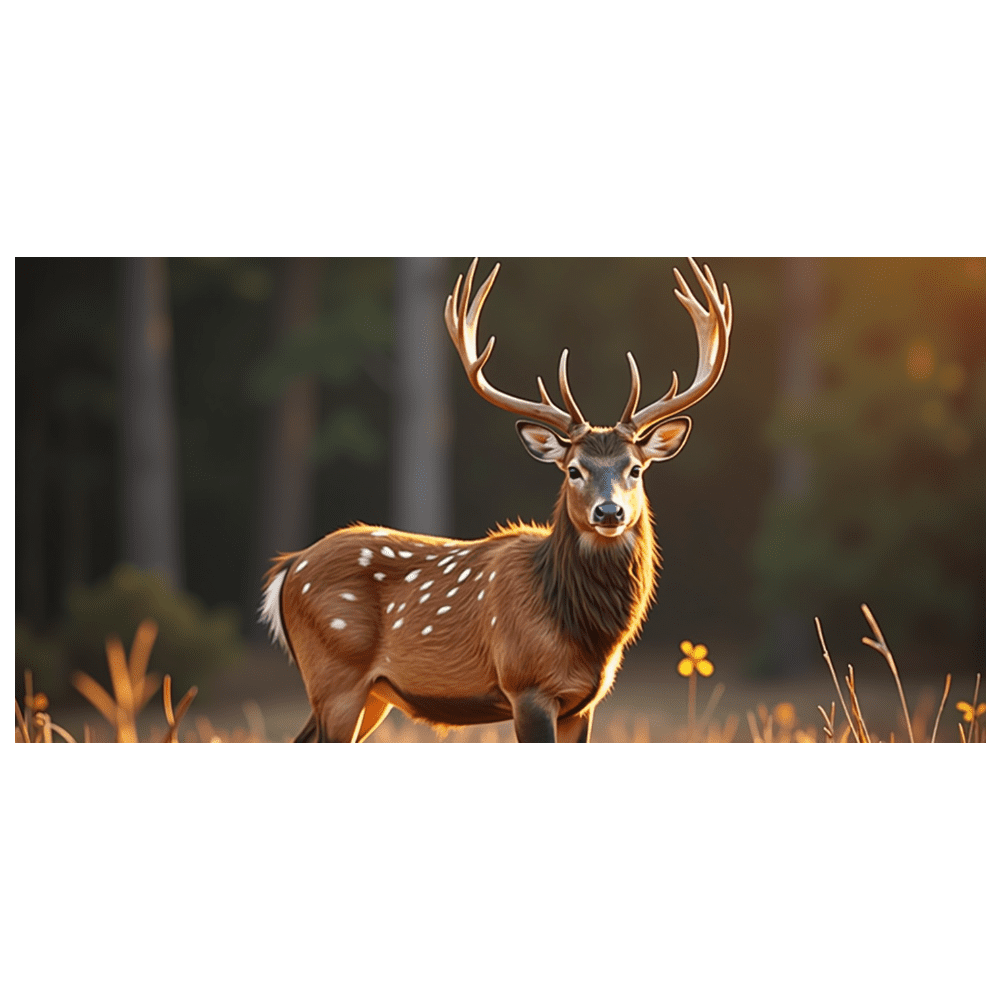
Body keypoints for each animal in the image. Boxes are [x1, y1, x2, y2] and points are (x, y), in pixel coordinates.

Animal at [260, 258, 732, 742]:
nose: (609, 511)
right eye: (573, 469)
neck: (584, 636)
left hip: (371, 694)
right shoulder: (526, 684)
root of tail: (288, 568)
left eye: (635, 469)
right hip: (337, 675)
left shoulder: (584, 702)